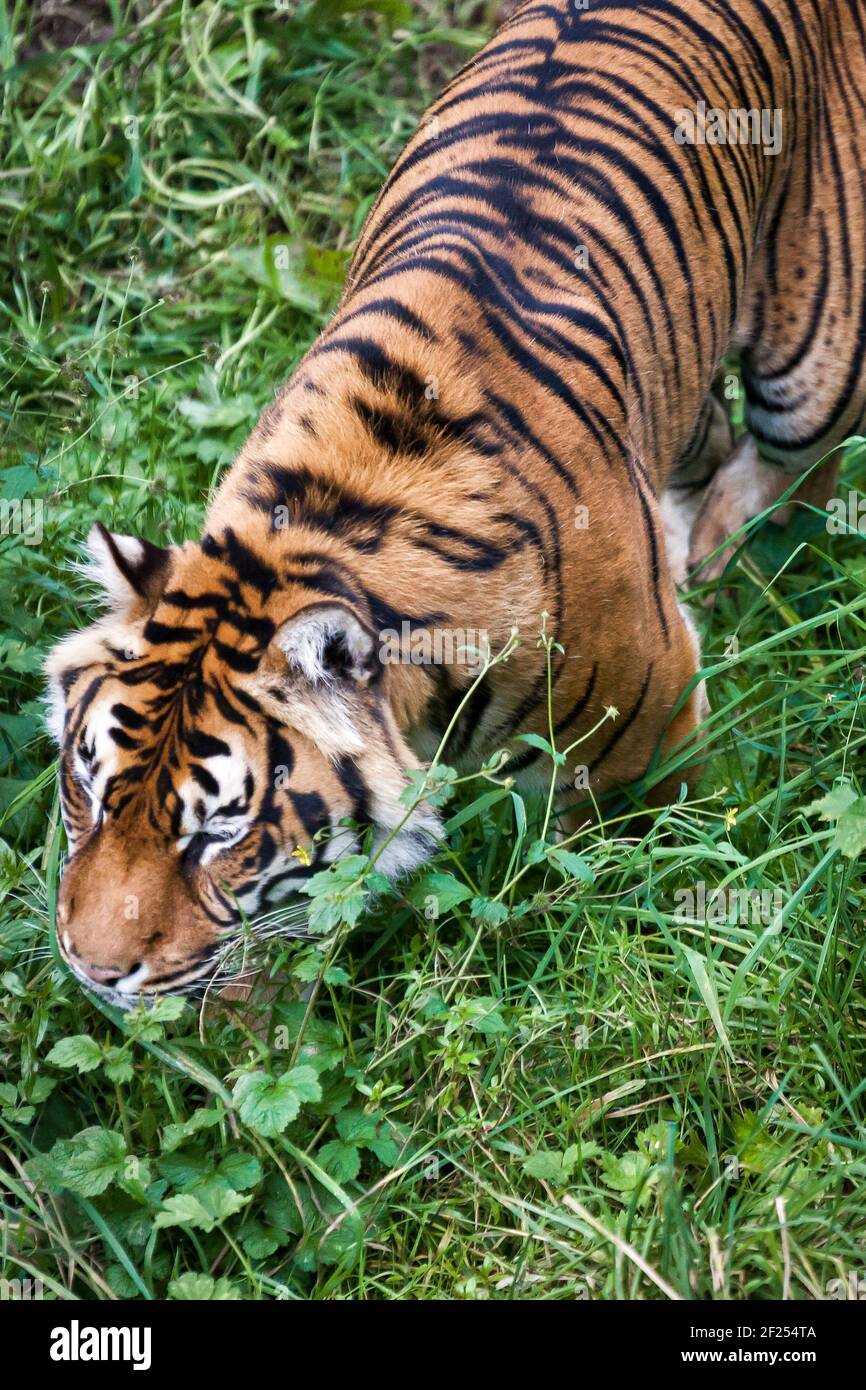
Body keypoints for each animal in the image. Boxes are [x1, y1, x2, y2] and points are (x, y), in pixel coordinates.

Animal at [47, 0, 865, 1001]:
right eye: (88, 790)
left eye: (217, 835)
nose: (91, 970)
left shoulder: (653, 715)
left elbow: (641, 844)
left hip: (818, 359)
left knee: (800, 466)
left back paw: (731, 566)